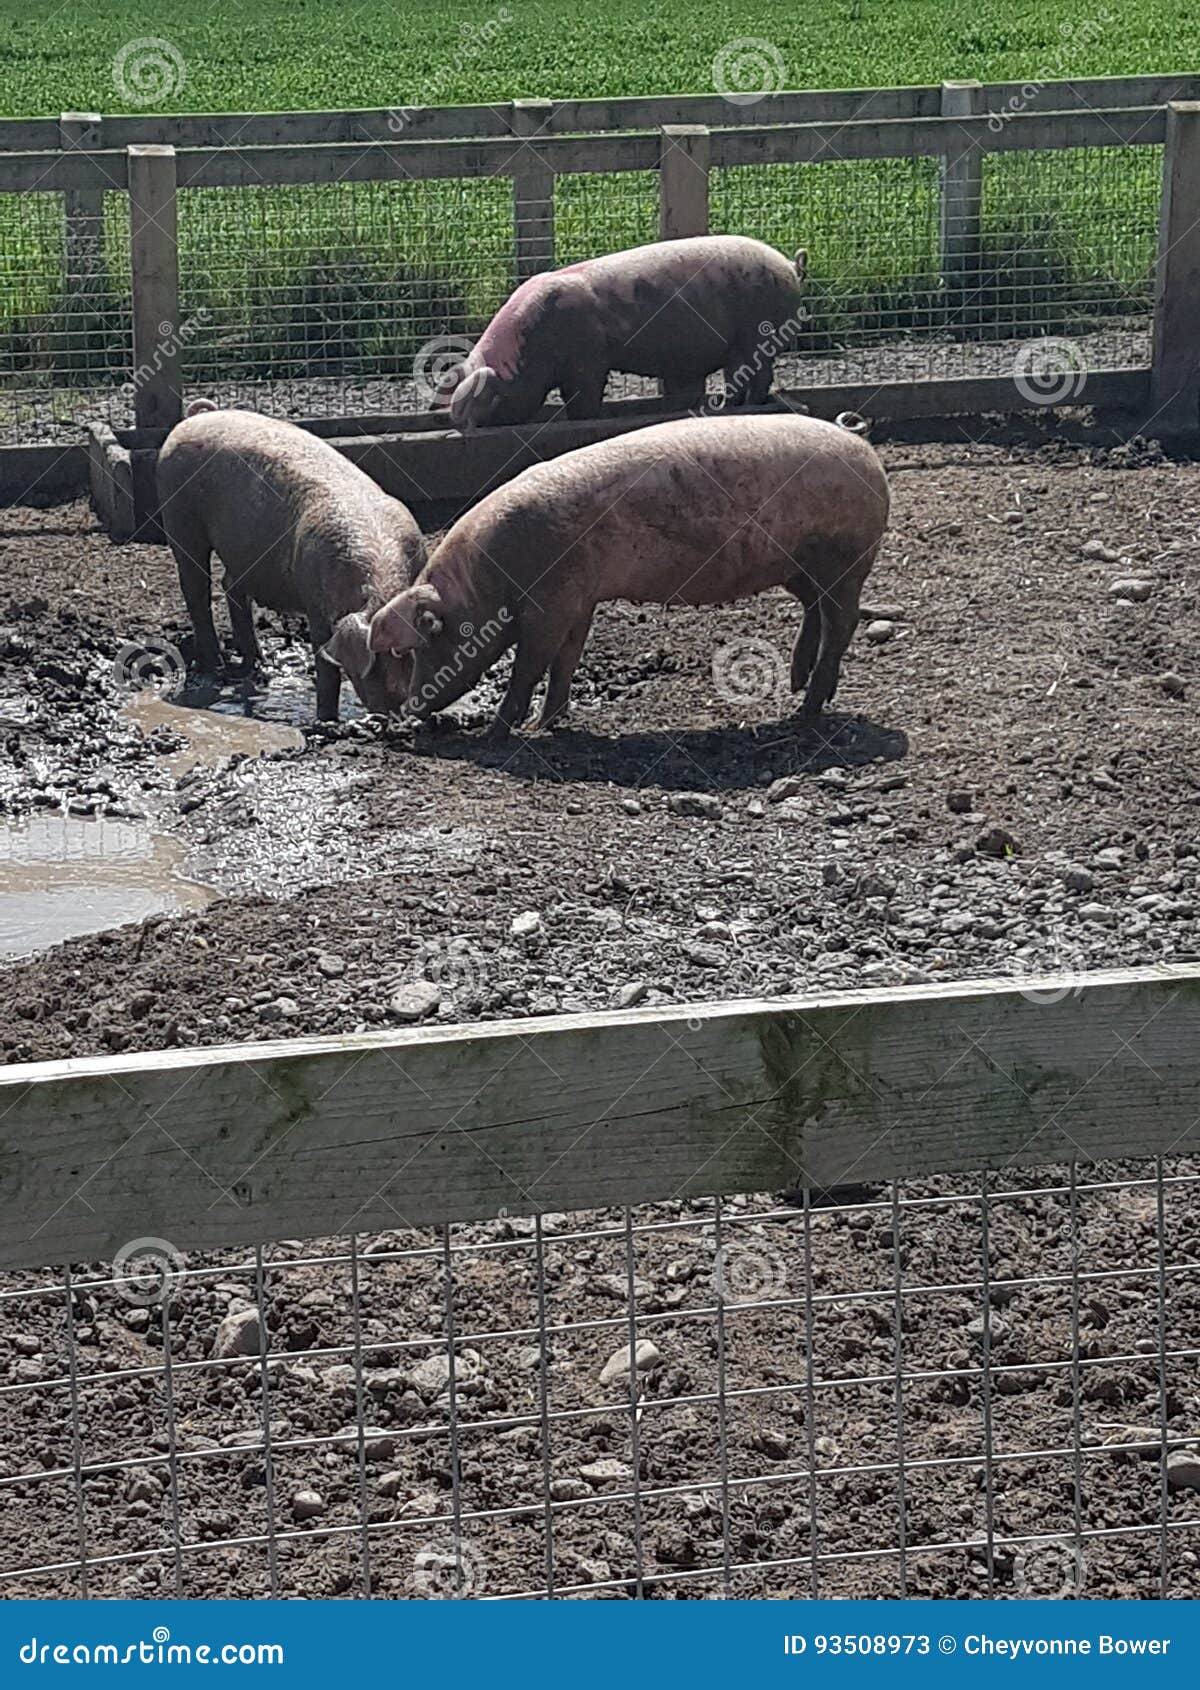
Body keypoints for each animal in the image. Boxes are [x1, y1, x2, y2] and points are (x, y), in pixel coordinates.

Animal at [156, 408, 427, 720]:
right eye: (377, 658)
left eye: (407, 654)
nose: (395, 713)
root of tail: (192, 419)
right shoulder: (316, 605)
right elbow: (326, 669)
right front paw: (326, 720)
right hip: (180, 519)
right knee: (196, 591)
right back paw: (216, 668)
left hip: (243, 552)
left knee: (231, 587)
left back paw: (258, 664)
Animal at [347, 412, 889, 742]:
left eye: (422, 643)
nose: (410, 707)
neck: (489, 579)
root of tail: (859, 442)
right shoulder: (580, 599)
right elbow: (567, 658)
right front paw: (548, 723)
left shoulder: (550, 602)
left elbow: (530, 664)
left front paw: (498, 733)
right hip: (797, 566)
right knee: (814, 611)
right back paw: (798, 685)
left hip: (843, 559)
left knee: (842, 620)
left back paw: (806, 710)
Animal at [438, 235, 806, 428]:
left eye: (489, 402)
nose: (461, 425)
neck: (529, 346)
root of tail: (789, 266)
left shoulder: (588, 361)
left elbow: (583, 399)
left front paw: (584, 419)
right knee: (746, 377)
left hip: (757, 334)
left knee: (757, 377)